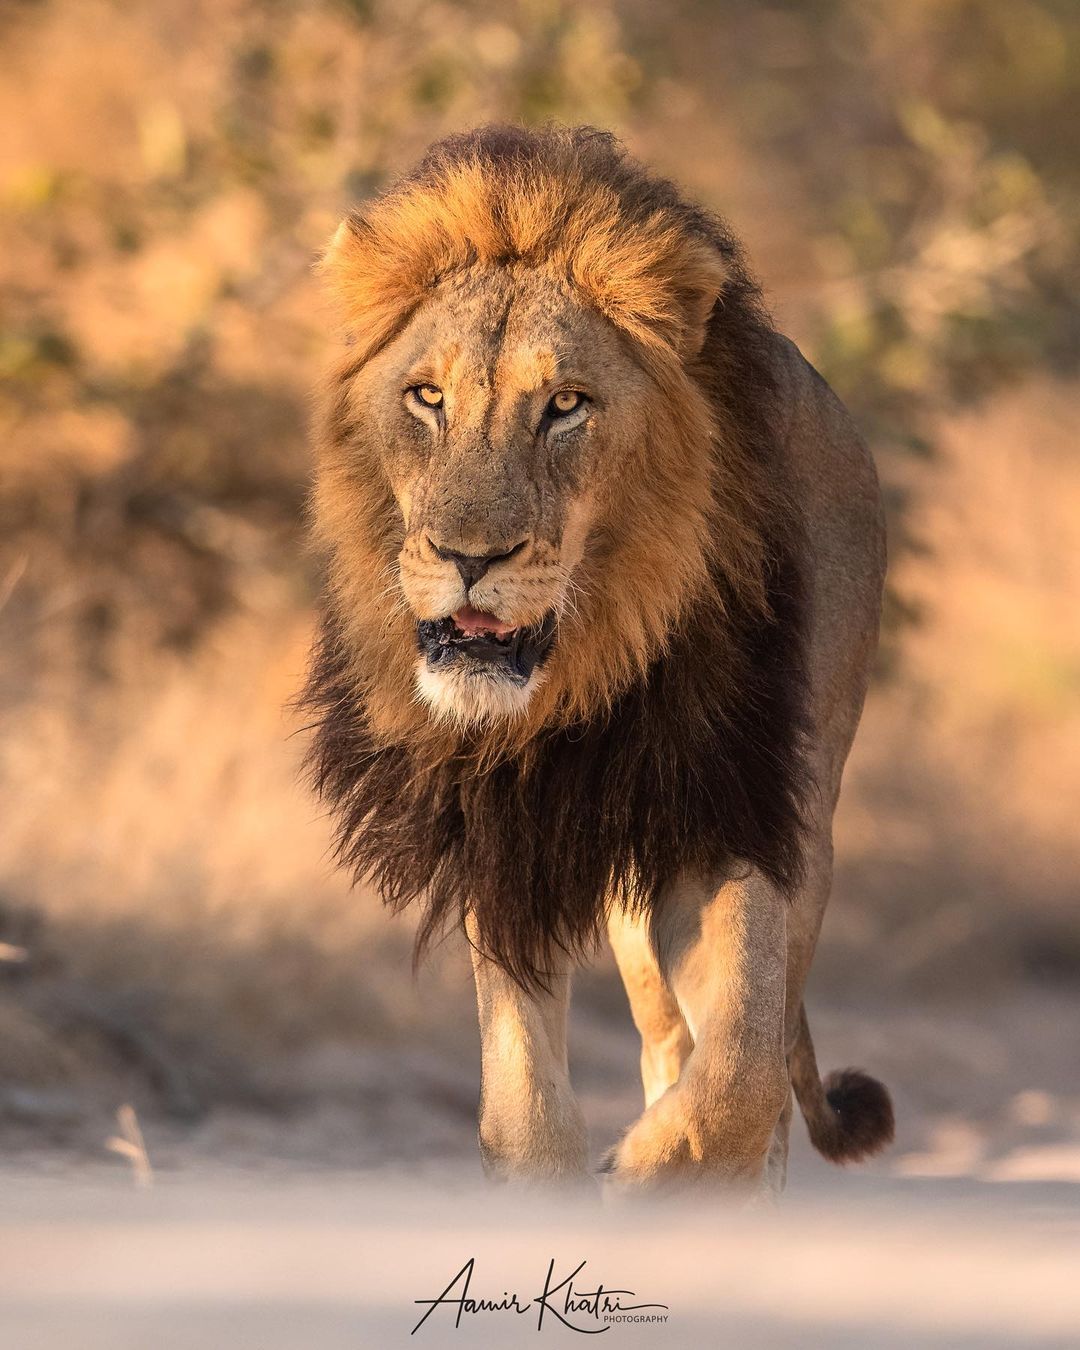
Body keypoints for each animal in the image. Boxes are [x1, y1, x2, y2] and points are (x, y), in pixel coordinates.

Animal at [302, 124, 894, 1195]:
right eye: (426, 397)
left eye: (567, 405)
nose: (470, 557)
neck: (584, 670)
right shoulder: (501, 826)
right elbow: (524, 1093)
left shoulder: (743, 799)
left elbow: (743, 1067)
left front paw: (658, 1173)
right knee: (666, 1033)